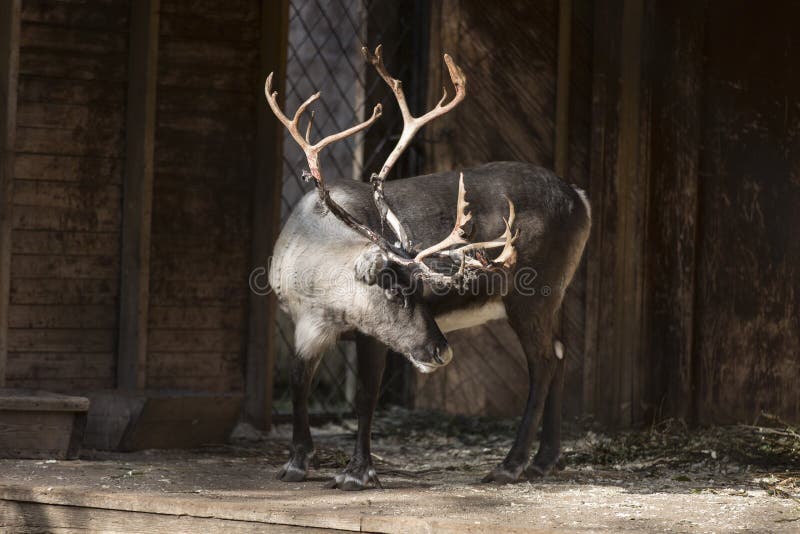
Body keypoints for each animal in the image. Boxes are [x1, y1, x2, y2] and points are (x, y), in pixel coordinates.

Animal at [266, 45, 591, 490]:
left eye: (421, 289)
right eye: (392, 287)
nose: (443, 351)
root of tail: (580, 199)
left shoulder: (368, 335)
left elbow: (366, 396)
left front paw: (358, 472)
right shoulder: (303, 323)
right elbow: (300, 384)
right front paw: (297, 462)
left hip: (534, 295)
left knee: (542, 363)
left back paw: (510, 464)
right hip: (554, 296)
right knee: (559, 355)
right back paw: (546, 460)